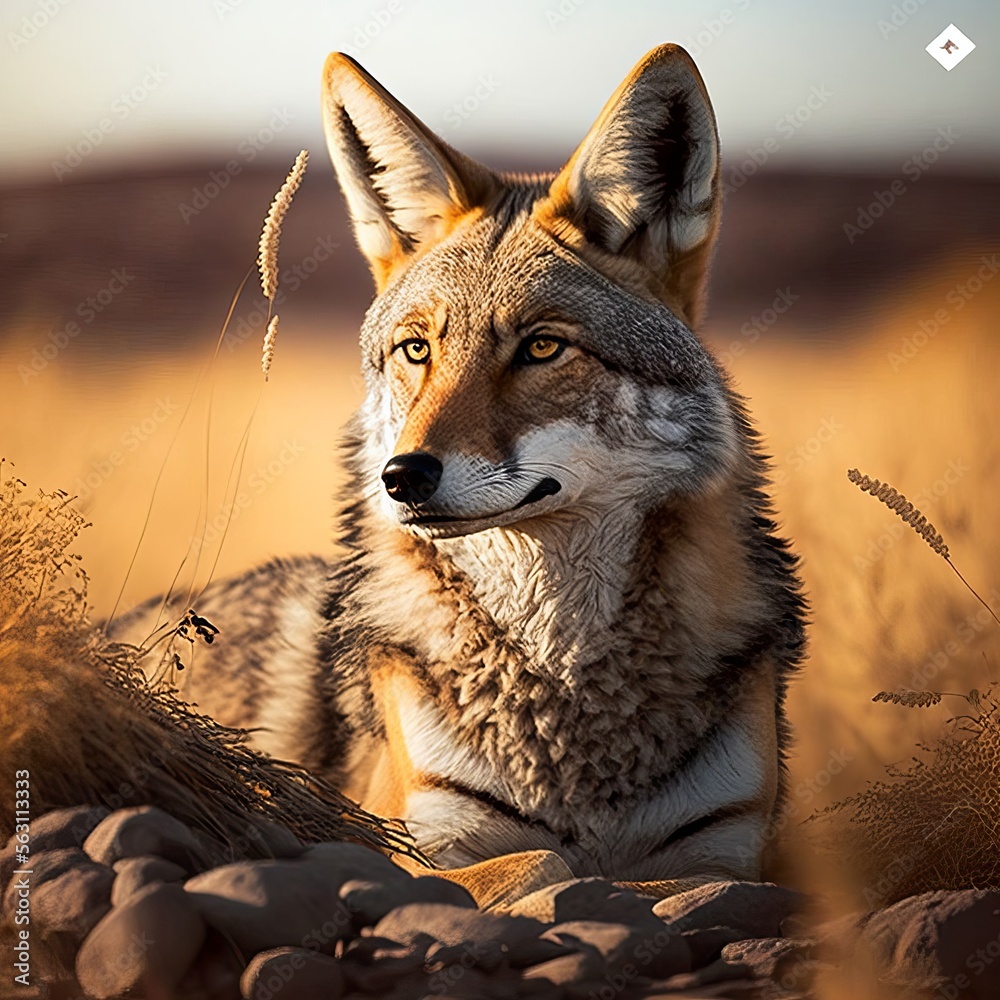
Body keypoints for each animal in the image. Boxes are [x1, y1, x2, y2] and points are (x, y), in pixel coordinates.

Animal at [112, 43, 805, 893]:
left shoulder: (734, 850)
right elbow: (545, 860)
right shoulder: (416, 848)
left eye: (542, 347)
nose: (402, 476)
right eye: (417, 349)